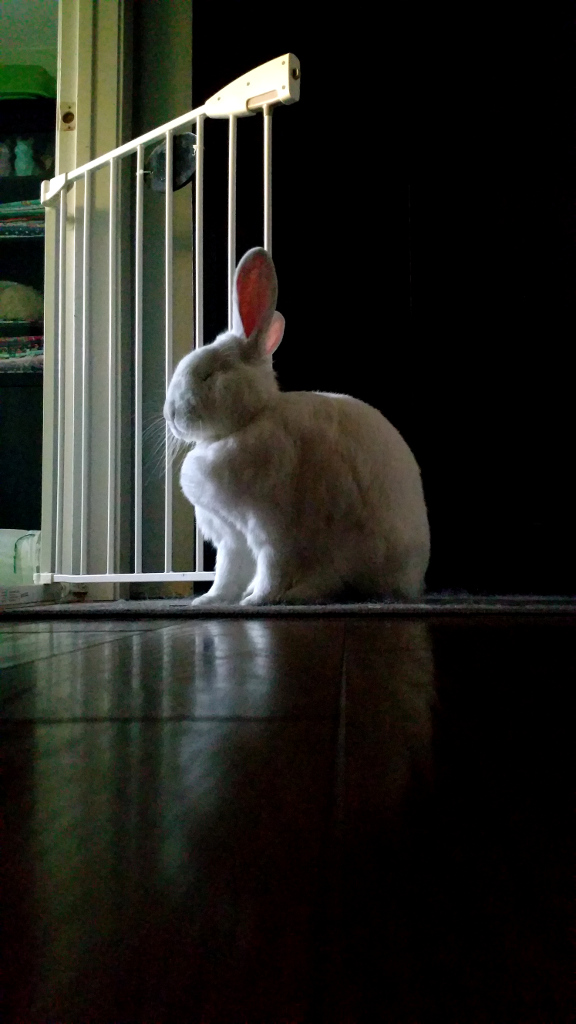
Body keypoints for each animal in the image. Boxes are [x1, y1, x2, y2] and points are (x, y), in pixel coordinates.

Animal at [164, 248, 430, 606]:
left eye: (209, 374)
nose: (170, 414)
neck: (249, 421)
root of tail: (414, 580)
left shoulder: (271, 528)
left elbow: (273, 566)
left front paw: (256, 601)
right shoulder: (232, 537)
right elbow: (226, 573)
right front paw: (210, 600)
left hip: (348, 553)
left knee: (333, 584)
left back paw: (292, 595)